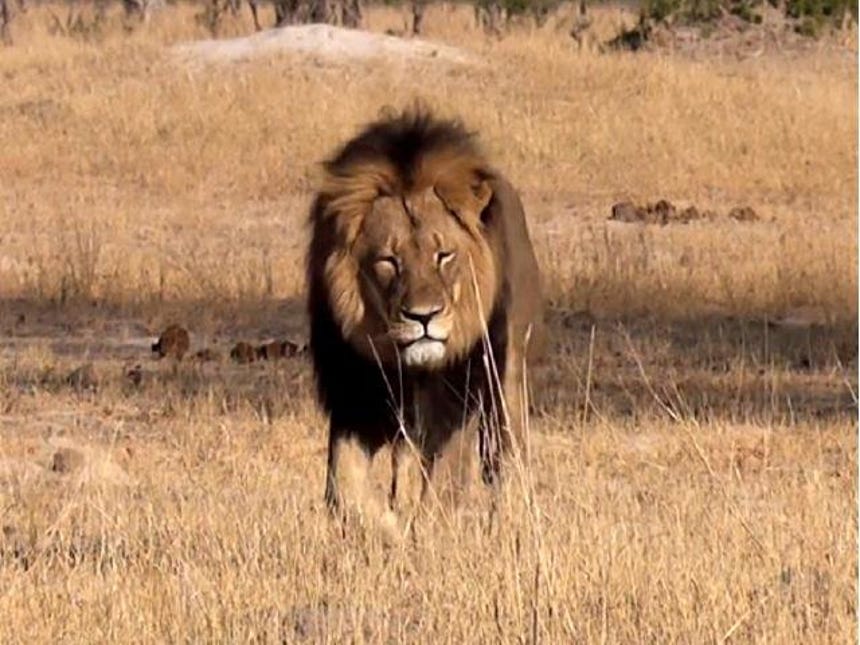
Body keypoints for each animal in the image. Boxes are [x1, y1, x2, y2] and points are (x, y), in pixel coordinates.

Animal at [306, 109, 544, 512]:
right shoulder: (355, 400)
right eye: (389, 260)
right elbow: (345, 490)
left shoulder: (459, 399)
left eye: (443, 255)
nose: (423, 317)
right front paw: (387, 523)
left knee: (507, 456)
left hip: (508, 380)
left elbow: (443, 487)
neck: (411, 370)